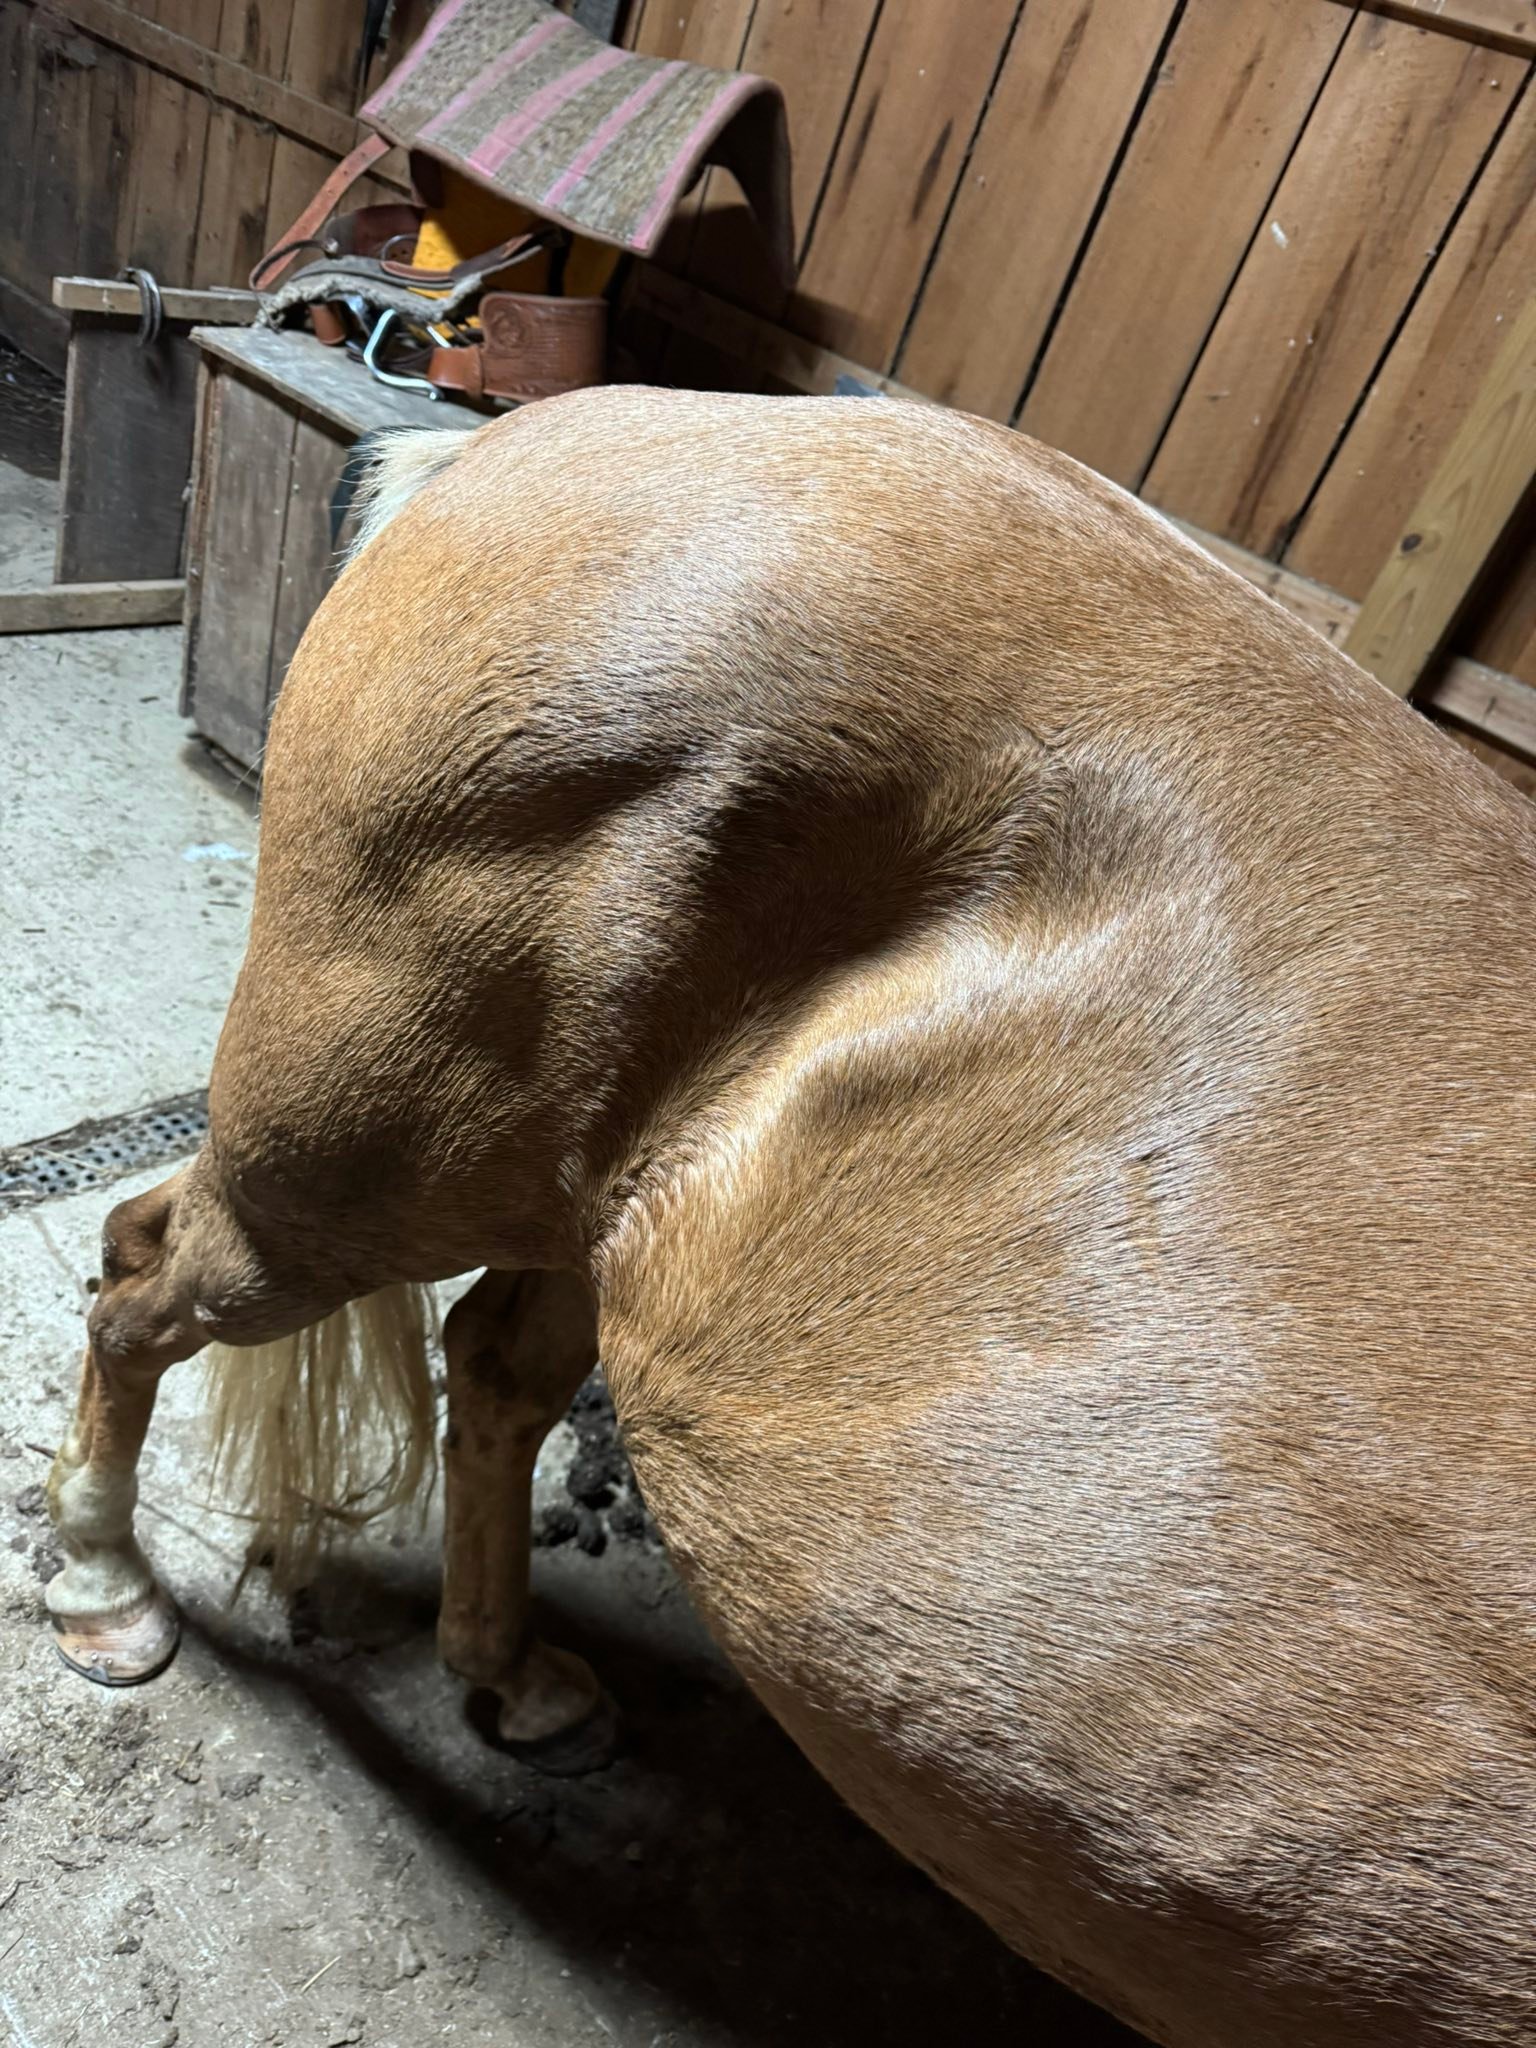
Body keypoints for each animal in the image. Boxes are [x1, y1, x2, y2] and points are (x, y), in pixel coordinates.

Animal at [45, 388, 1536, 2047]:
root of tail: (506, 443)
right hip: (342, 1175)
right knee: (138, 1282)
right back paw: (103, 1586)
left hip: (554, 1208)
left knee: (484, 1366)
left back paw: (509, 1679)